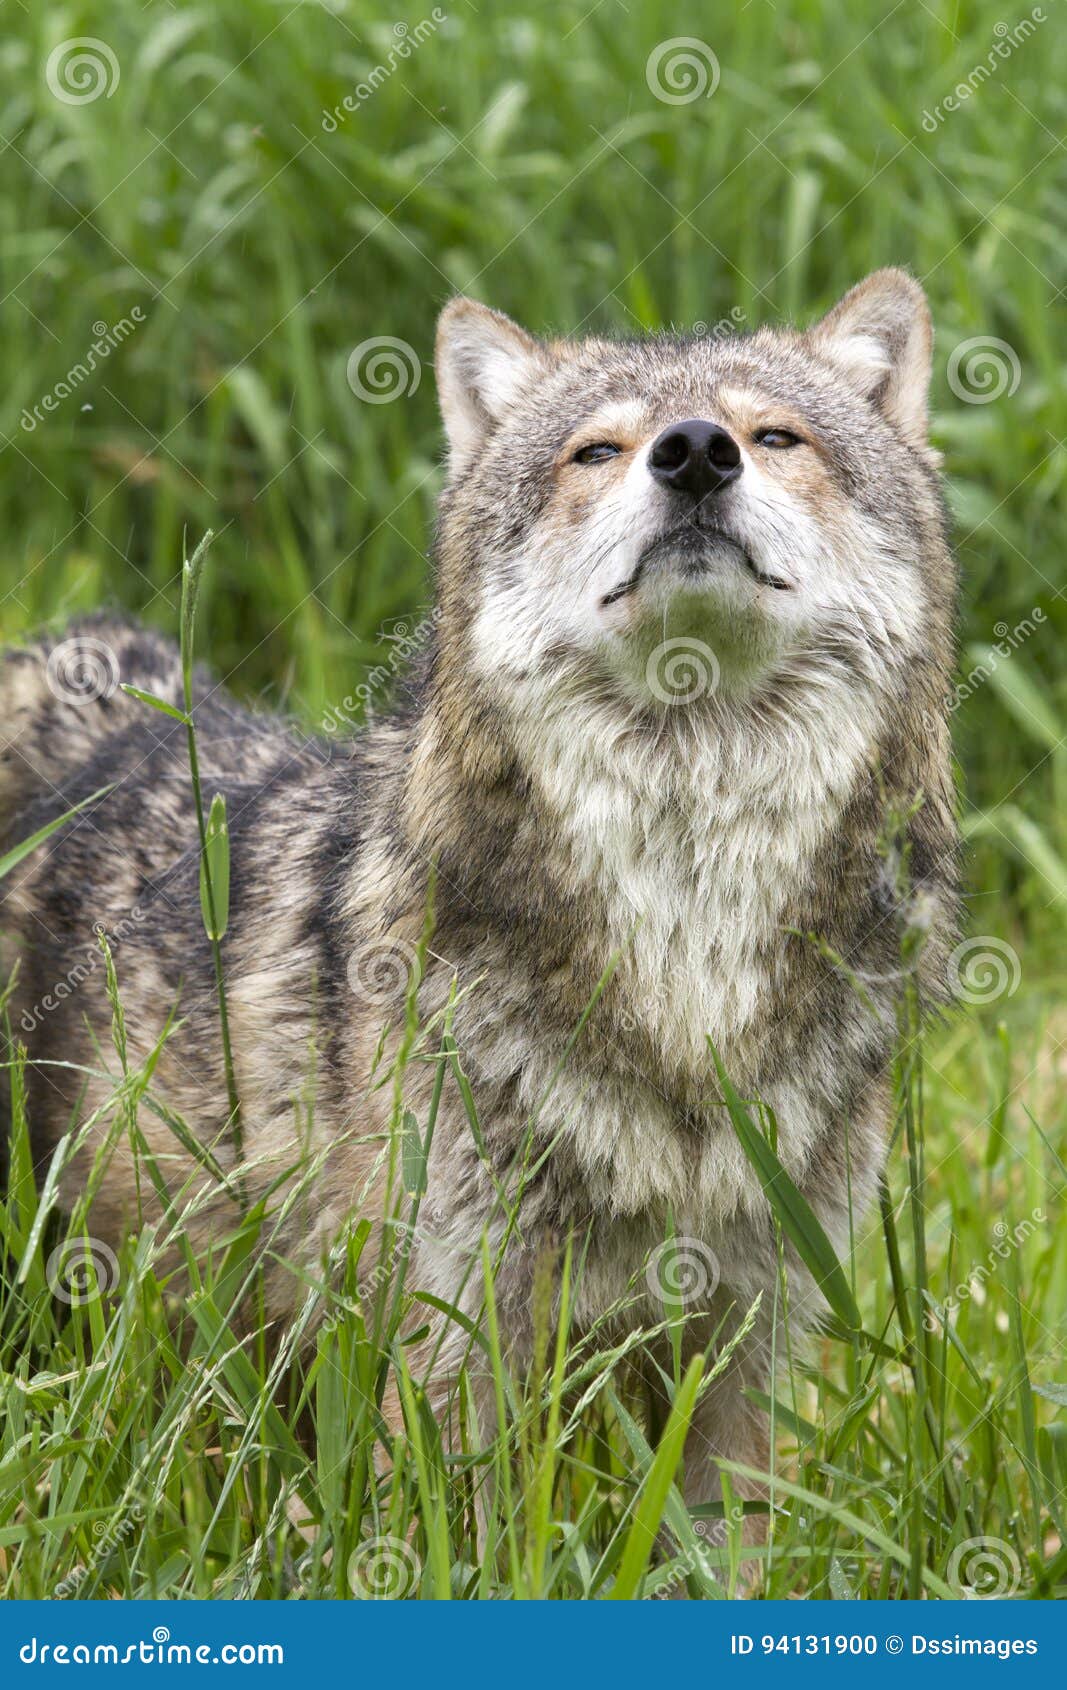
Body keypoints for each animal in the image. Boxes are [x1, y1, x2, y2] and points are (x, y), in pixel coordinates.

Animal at [0, 269, 959, 1533]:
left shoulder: (740, 1341)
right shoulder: (453, 1334)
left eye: (774, 438)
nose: (693, 453)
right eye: (595, 451)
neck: (685, 945)